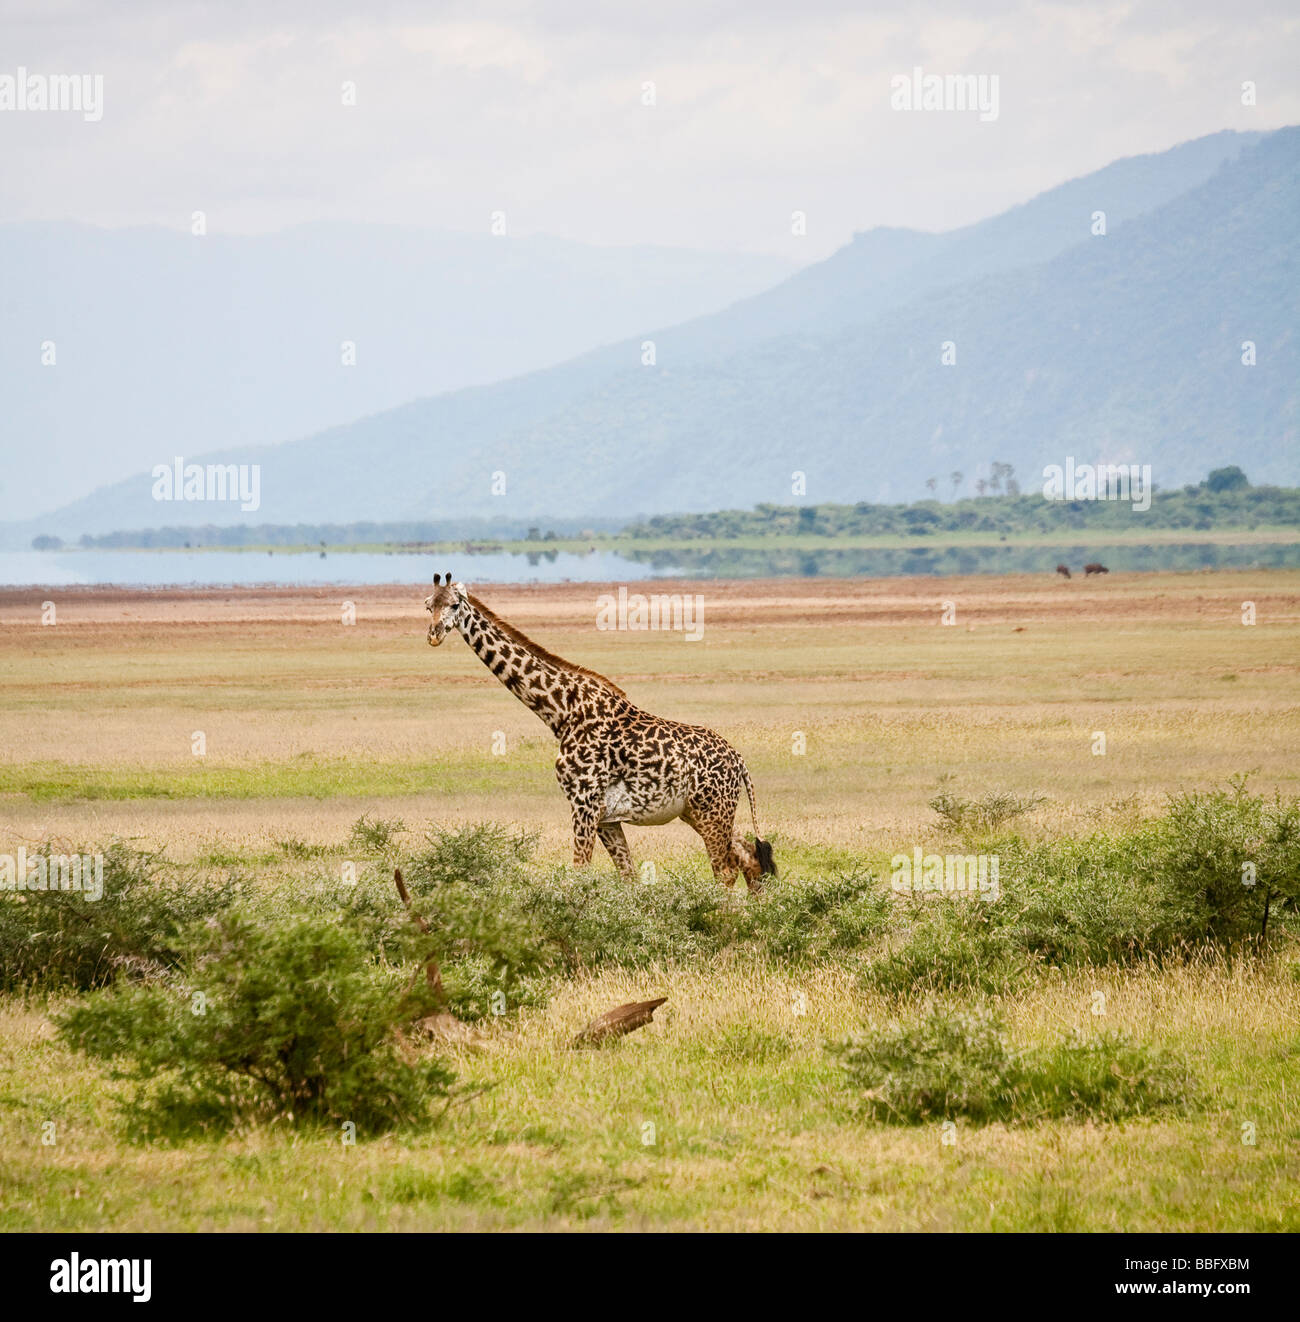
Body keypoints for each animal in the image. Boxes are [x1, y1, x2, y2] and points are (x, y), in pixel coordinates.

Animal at [423, 574, 776, 892]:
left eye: (454, 604)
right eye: (428, 605)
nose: (434, 635)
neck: (562, 711)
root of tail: (739, 760)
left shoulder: (584, 803)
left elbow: (579, 872)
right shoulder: (607, 817)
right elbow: (628, 877)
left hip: (712, 811)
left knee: (725, 872)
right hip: (698, 812)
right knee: (751, 860)